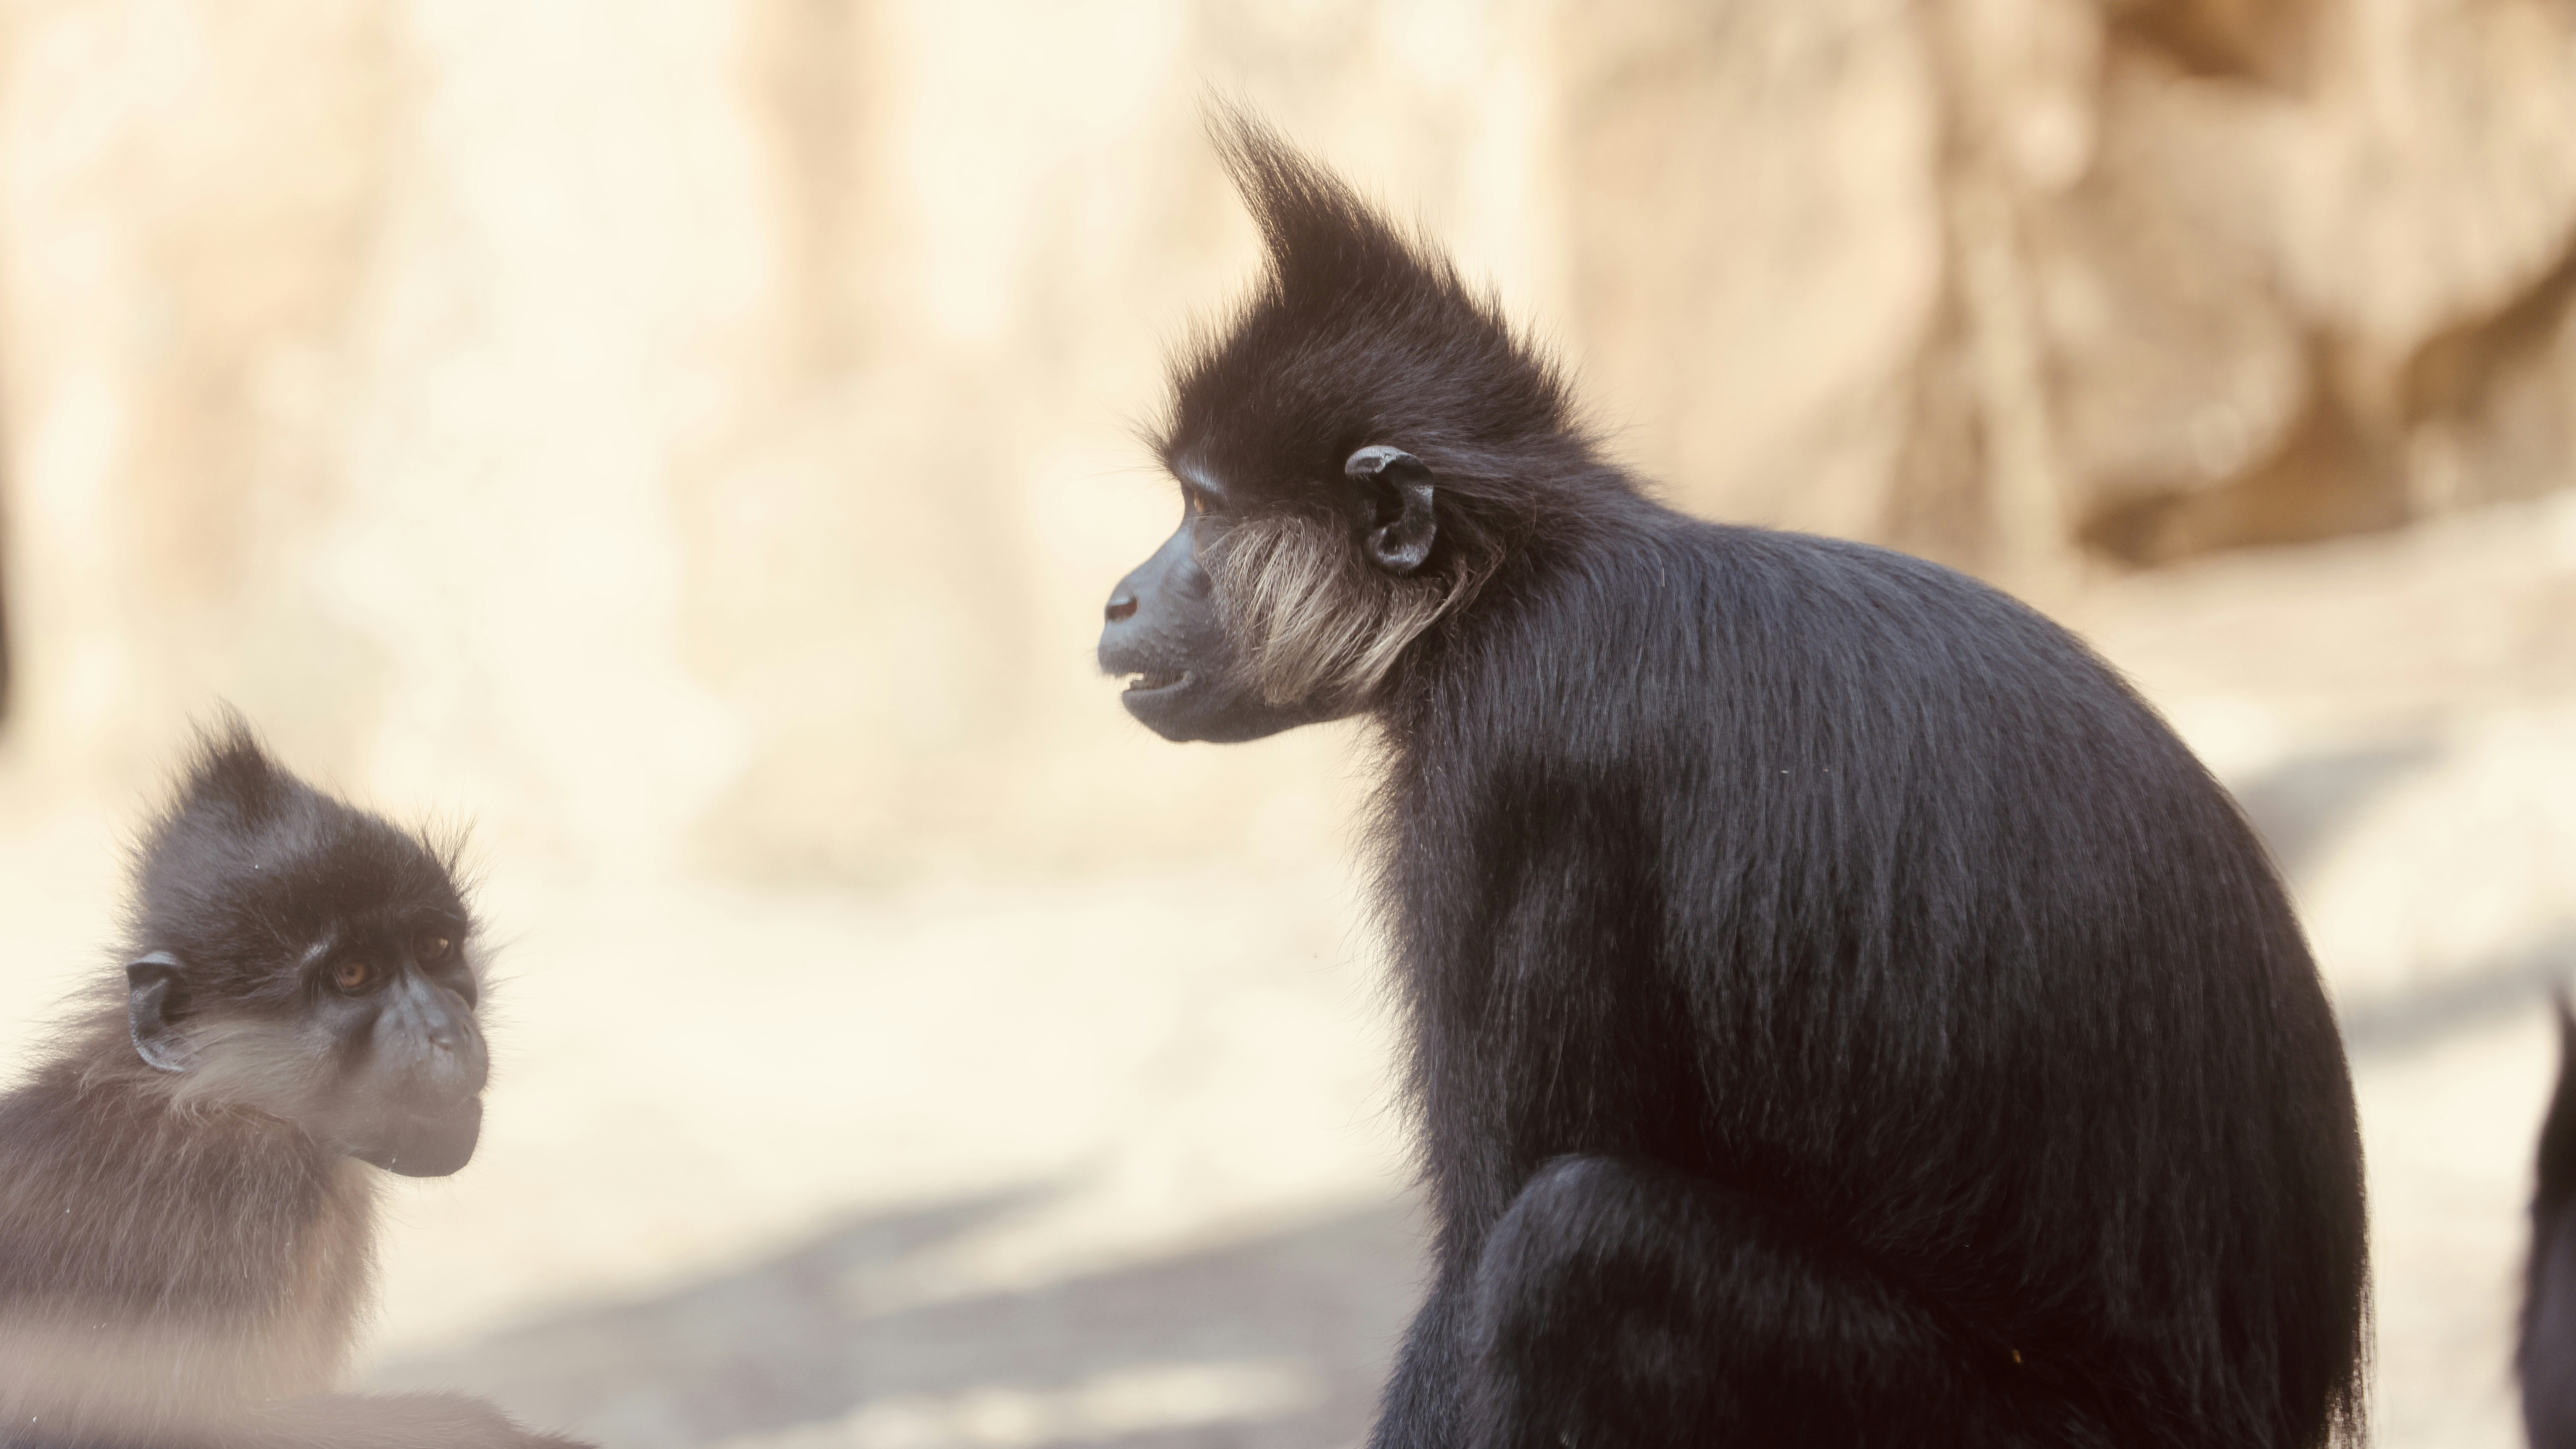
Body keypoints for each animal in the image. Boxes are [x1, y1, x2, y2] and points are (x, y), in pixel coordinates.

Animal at [1097, 114, 2368, 1449]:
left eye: (1200, 510)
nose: (1123, 596)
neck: (1516, 578)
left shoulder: (1515, 762)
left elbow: (1494, 1231)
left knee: (1575, 1242)